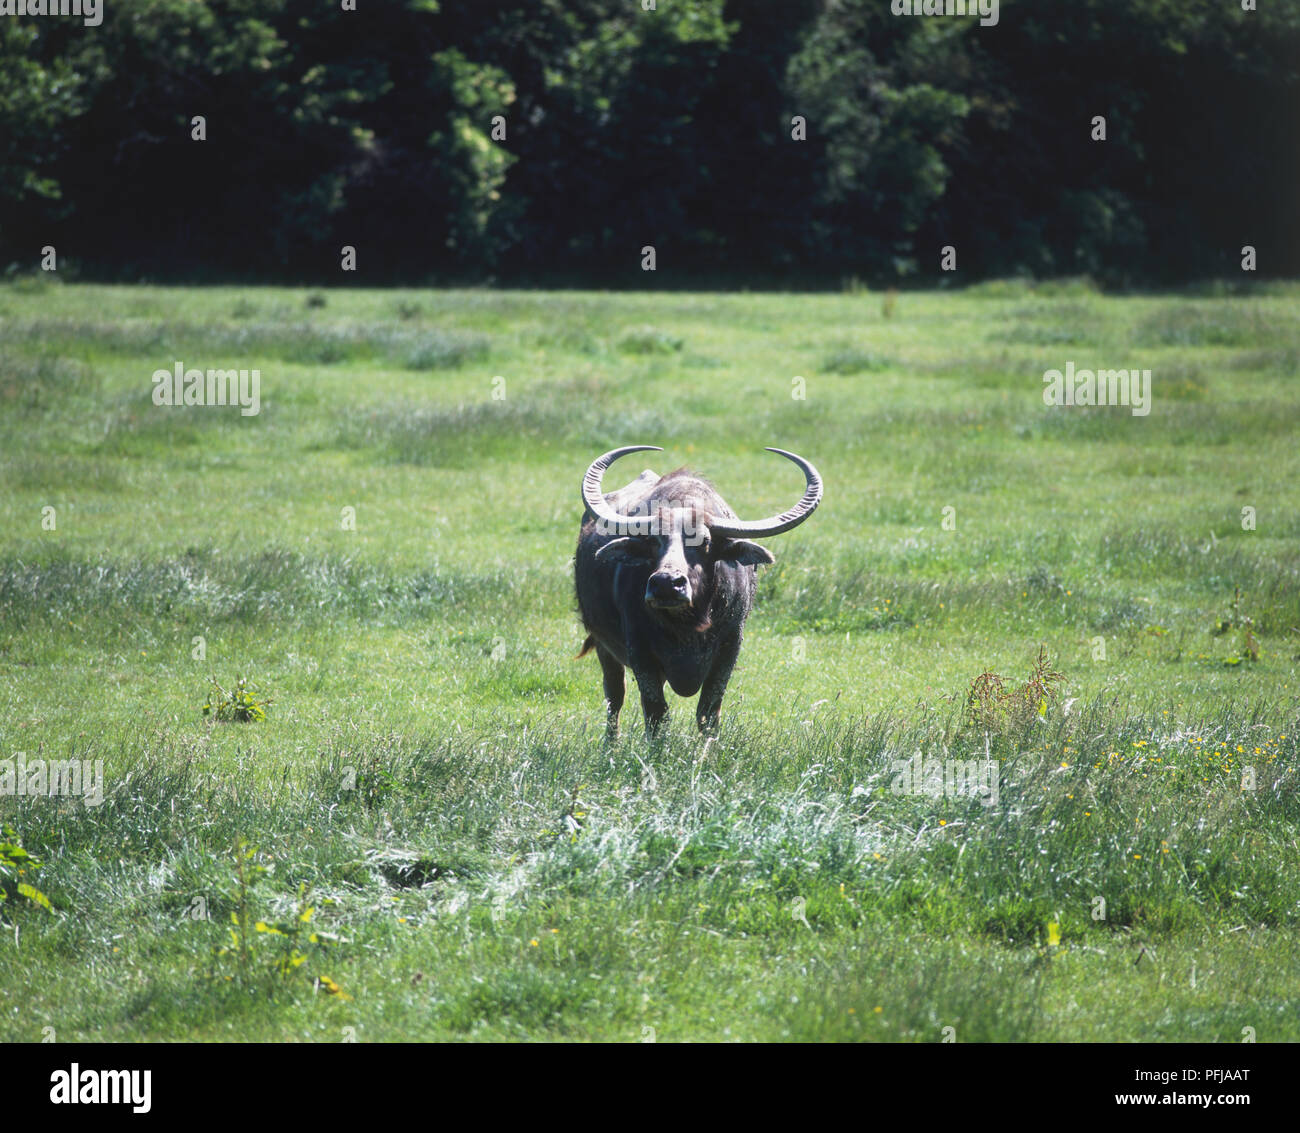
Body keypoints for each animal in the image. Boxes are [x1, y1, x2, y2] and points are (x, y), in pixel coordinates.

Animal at [574, 445, 822, 739]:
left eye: (704, 541)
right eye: (653, 539)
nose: (666, 583)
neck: (686, 628)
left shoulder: (730, 647)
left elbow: (708, 713)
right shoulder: (639, 650)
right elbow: (656, 715)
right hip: (603, 646)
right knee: (614, 697)